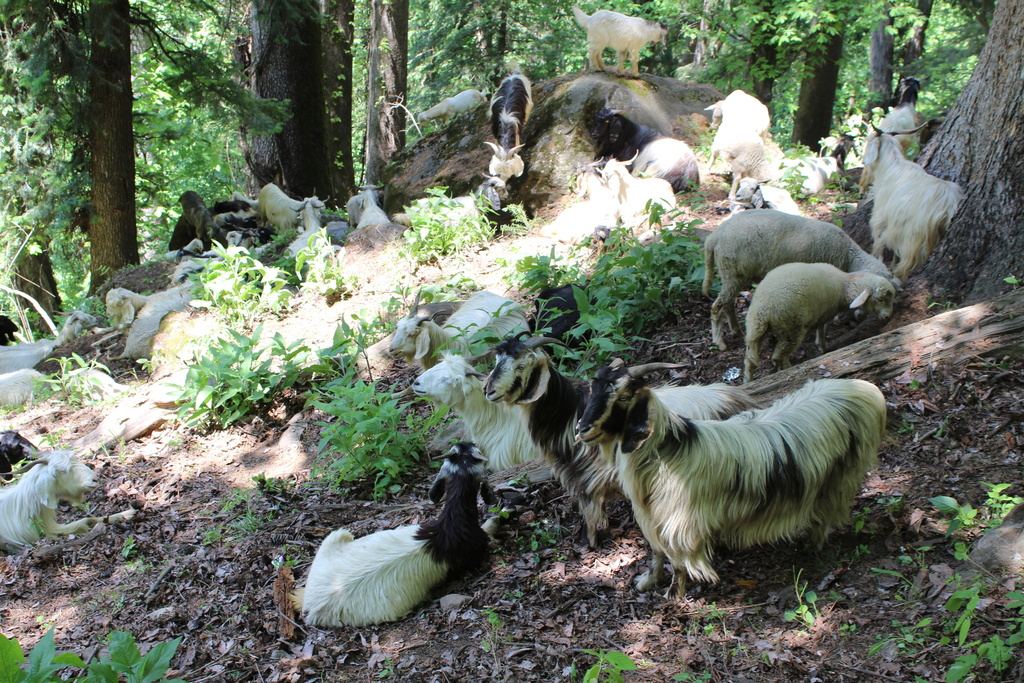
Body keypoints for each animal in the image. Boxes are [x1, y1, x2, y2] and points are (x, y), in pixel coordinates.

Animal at [482, 334, 620, 547]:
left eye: (521, 366)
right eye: (497, 362)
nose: (489, 391)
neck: (569, 411)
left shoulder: (584, 471)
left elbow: (591, 508)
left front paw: (591, 543)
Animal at [577, 365, 885, 591]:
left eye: (624, 397)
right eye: (593, 388)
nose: (582, 428)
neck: (669, 451)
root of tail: (866, 390)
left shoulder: (680, 523)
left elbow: (678, 563)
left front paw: (674, 598)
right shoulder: (652, 516)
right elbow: (657, 552)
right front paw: (647, 582)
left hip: (840, 477)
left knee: (826, 515)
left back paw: (811, 547)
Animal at [702, 209, 896, 350]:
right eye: (878, 298)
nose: (888, 317)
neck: (849, 257)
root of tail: (714, 237)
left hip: (731, 274)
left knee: (728, 303)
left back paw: (736, 330)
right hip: (732, 272)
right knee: (717, 306)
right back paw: (719, 341)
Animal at [743, 262, 897, 382]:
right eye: (879, 299)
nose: (888, 316)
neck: (843, 285)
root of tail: (763, 311)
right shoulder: (825, 313)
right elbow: (822, 329)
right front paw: (823, 346)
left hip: (754, 329)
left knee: (749, 359)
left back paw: (748, 379)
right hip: (792, 329)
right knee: (778, 356)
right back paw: (787, 369)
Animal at [861, 129, 963, 280]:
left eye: (868, 141)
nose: (863, 160)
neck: (890, 167)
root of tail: (949, 206)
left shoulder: (881, 218)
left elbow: (879, 243)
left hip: (915, 238)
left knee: (908, 264)